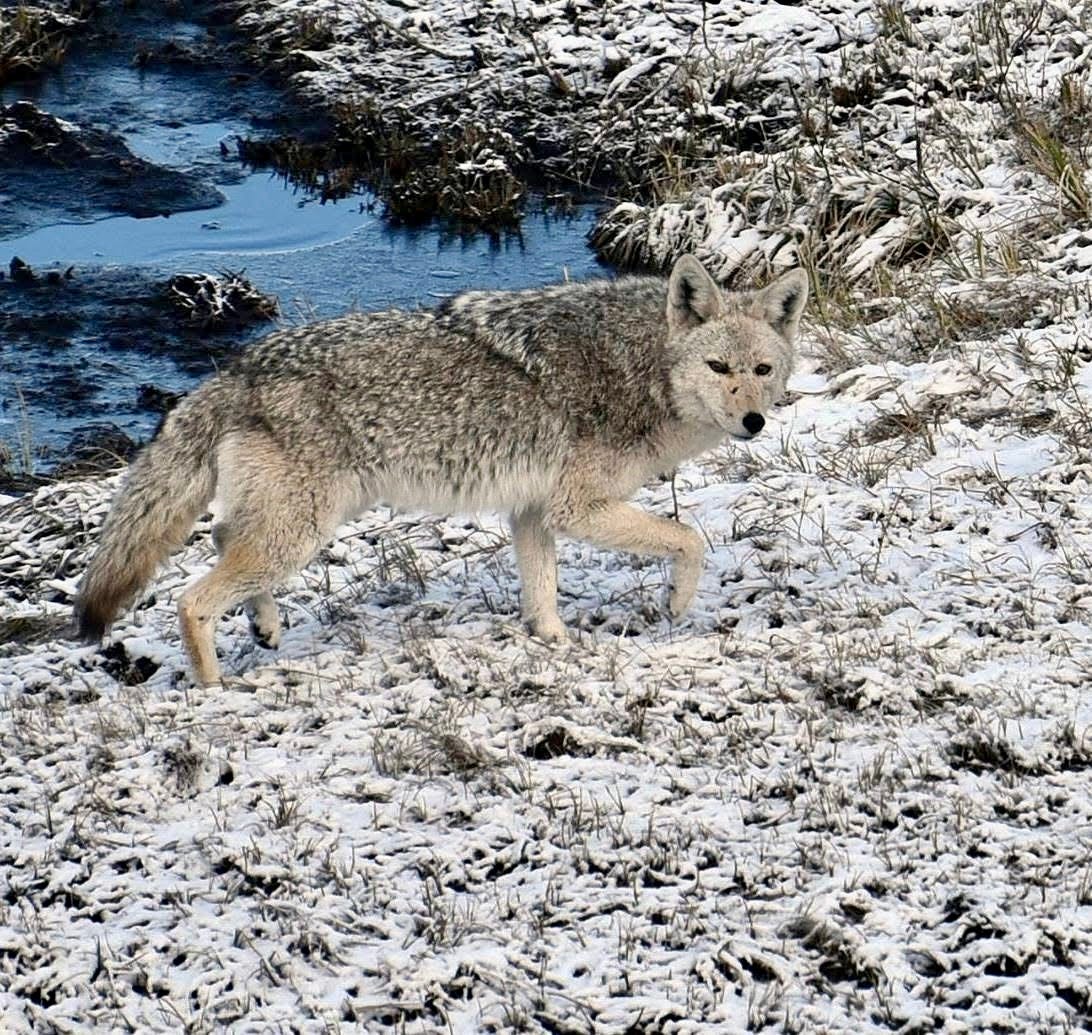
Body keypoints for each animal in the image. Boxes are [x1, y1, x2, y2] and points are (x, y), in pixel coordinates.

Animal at [75, 256, 807, 685]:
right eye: (718, 367)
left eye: (762, 369)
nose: (753, 421)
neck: (639, 369)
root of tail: (237, 368)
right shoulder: (576, 509)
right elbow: (691, 540)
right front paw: (677, 605)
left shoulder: (533, 512)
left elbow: (543, 593)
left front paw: (554, 641)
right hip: (302, 530)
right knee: (192, 599)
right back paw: (214, 690)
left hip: (301, 523)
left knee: (226, 540)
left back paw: (266, 625)